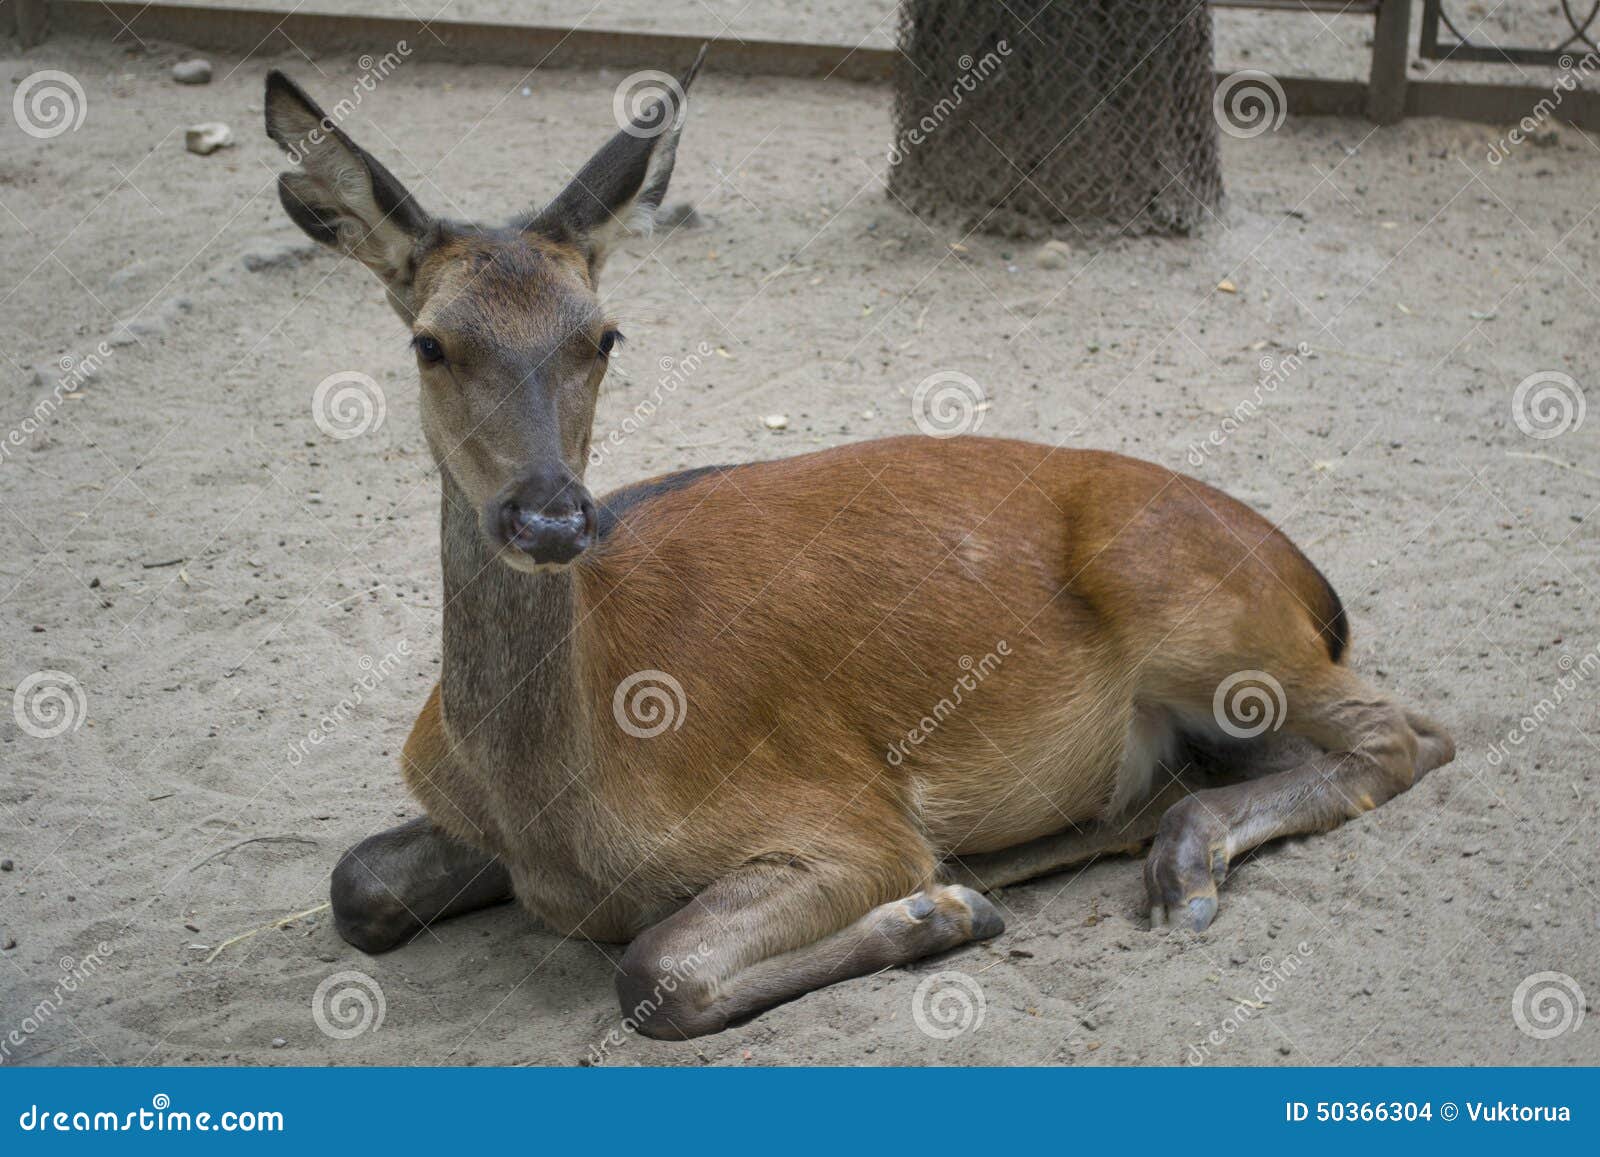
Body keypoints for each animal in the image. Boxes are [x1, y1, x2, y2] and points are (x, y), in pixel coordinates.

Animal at [263, 54, 1454, 1040]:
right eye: (429, 342)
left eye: (603, 335)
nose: (551, 518)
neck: (557, 809)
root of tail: (1312, 582)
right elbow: (354, 882)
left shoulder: (842, 815)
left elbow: (655, 965)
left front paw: (944, 906)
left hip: (1203, 612)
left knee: (1411, 732)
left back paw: (1181, 862)